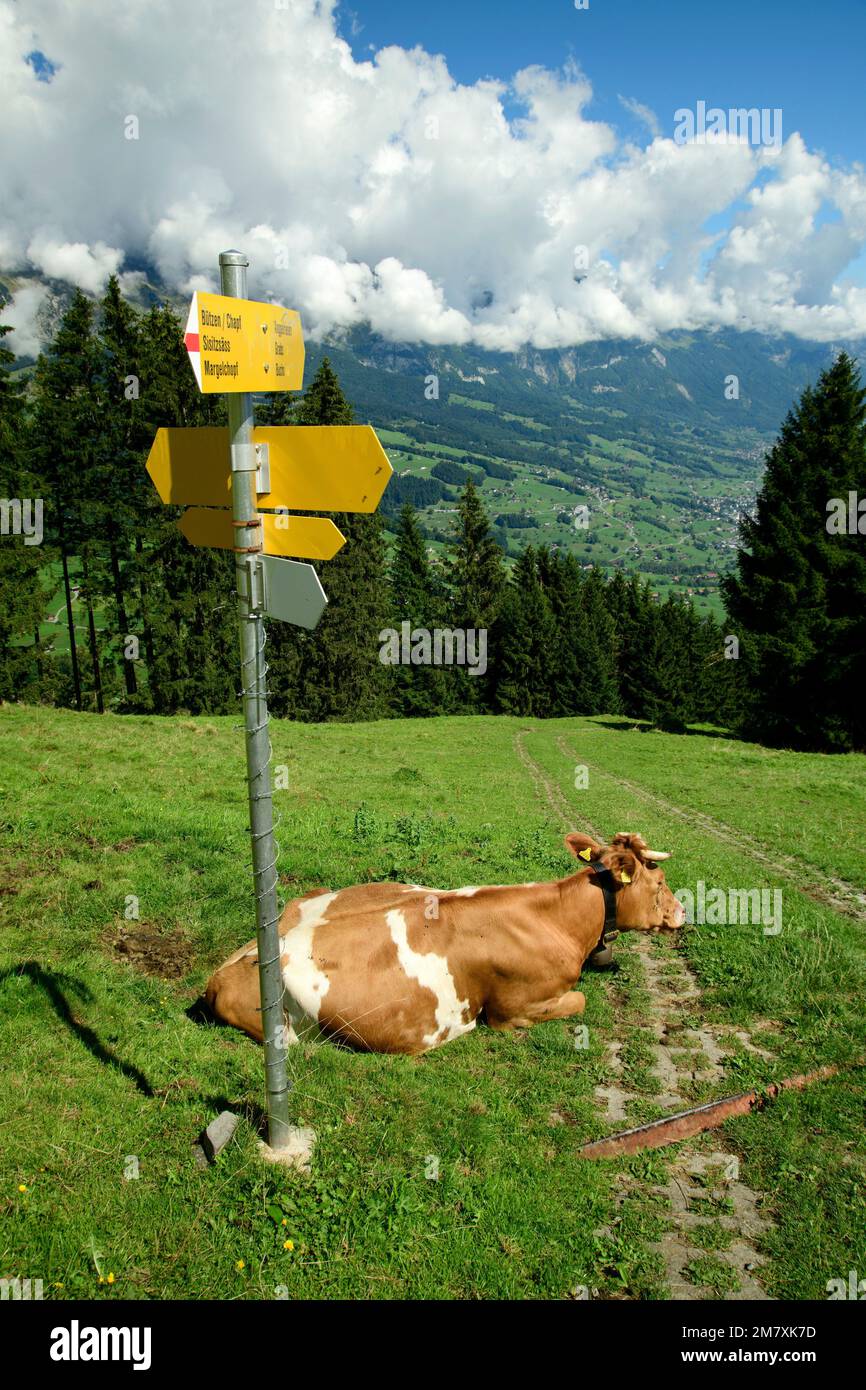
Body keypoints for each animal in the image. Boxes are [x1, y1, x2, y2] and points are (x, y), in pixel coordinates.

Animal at [204, 831, 686, 1056]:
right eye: (660, 881)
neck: (559, 920)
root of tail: (219, 977)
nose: (683, 912)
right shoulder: (514, 1007)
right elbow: (579, 1001)